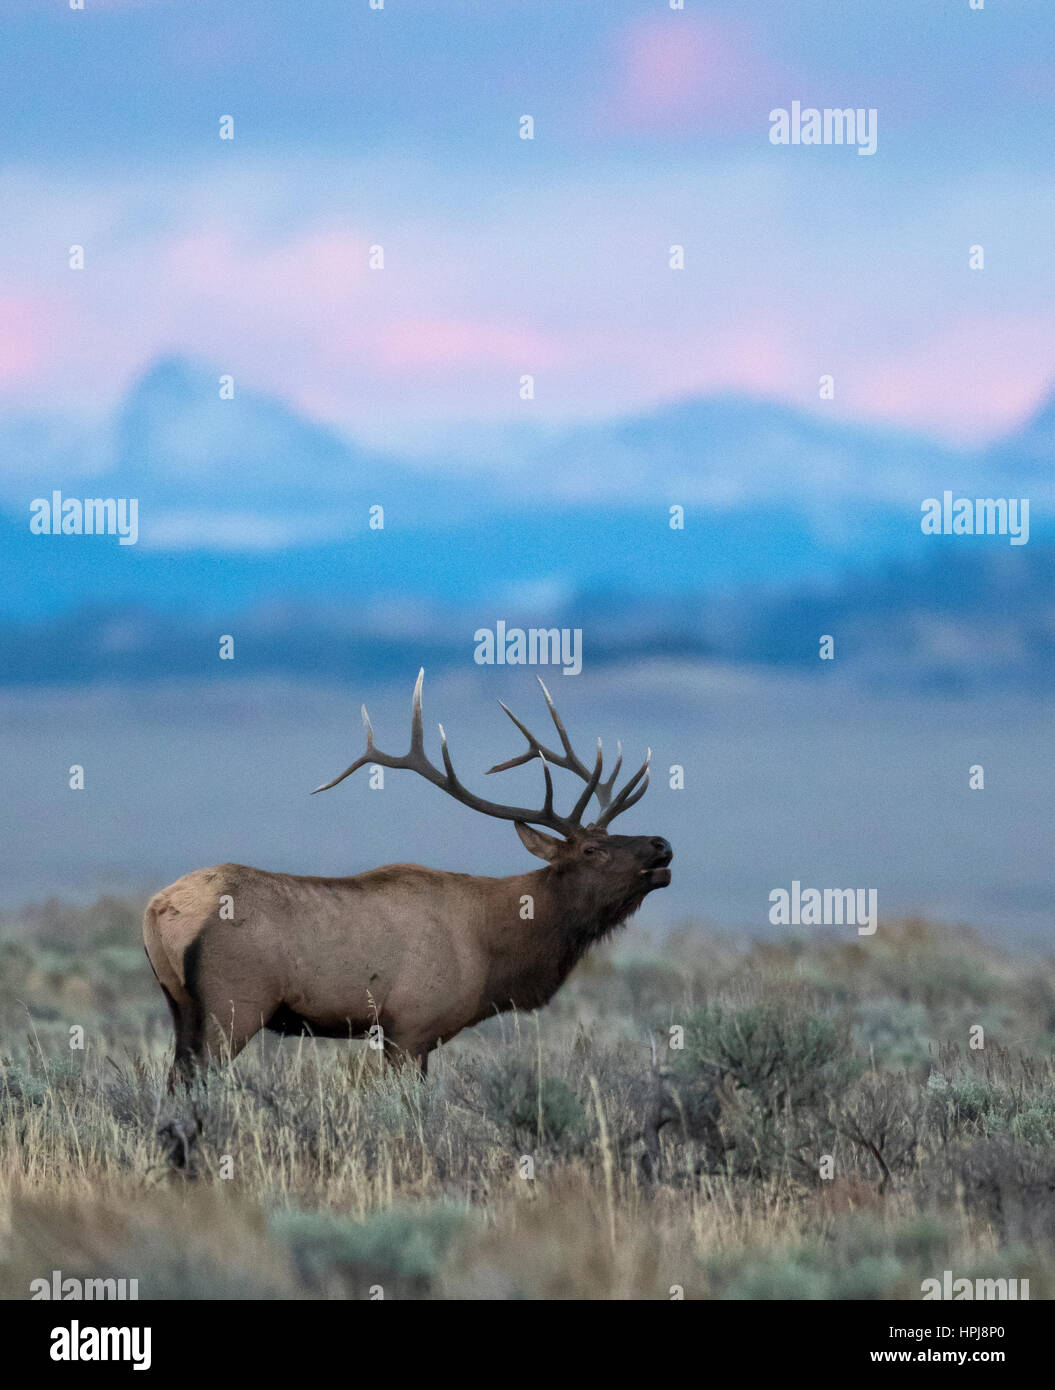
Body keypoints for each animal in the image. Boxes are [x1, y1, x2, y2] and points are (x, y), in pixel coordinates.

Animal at [143, 670, 672, 1084]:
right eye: (590, 849)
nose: (661, 845)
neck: (495, 950)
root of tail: (157, 909)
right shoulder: (412, 1027)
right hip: (235, 1004)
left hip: (180, 1006)